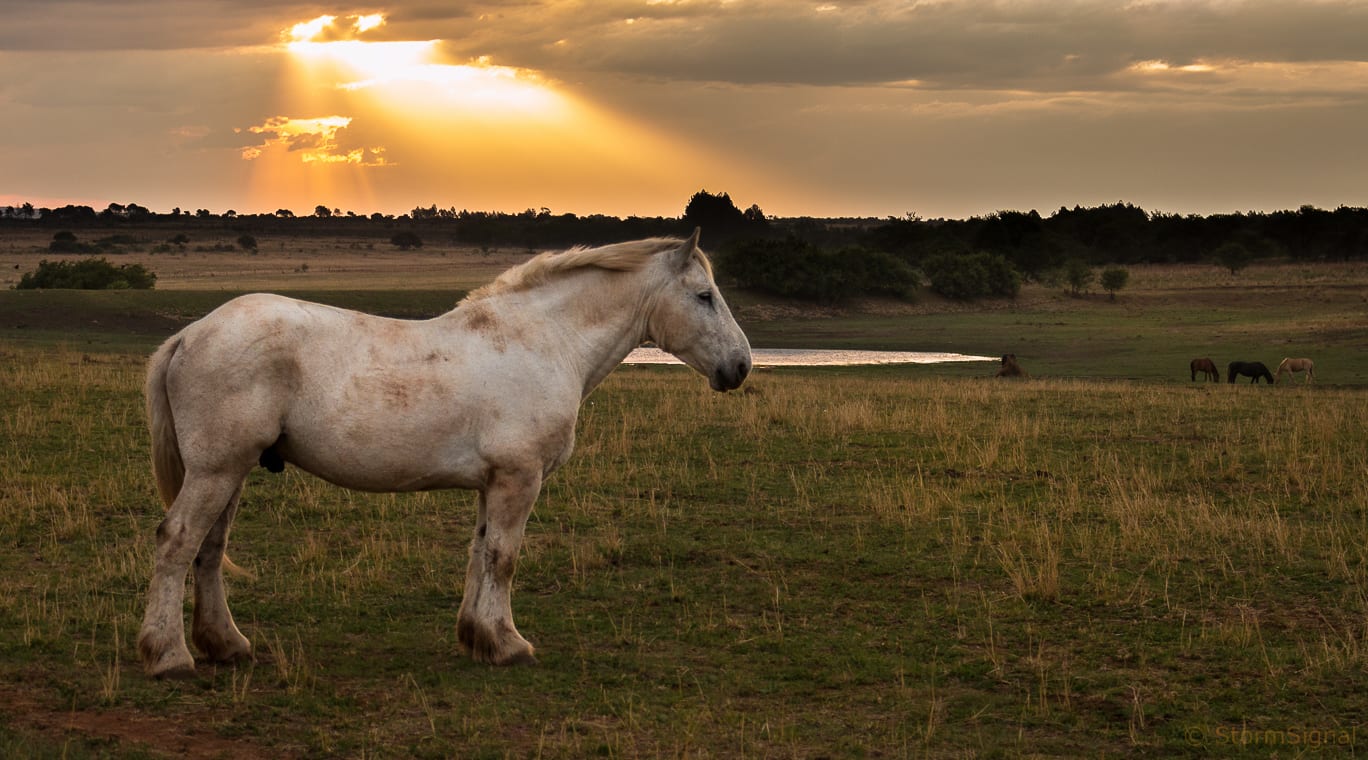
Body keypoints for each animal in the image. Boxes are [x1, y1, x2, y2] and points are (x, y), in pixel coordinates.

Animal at [136, 230, 752, 678]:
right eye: (704, 296)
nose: (741, 366)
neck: (545, 341)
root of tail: (191, 333)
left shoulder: (493, 483)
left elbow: (480, 555)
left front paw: (478, 637)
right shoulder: (519, 479)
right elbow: (504, 559)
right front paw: (508, 644)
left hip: (230, 473)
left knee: (209, 551)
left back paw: (226, 645)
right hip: (216, 471)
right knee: (177, 542)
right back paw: (169, 656)